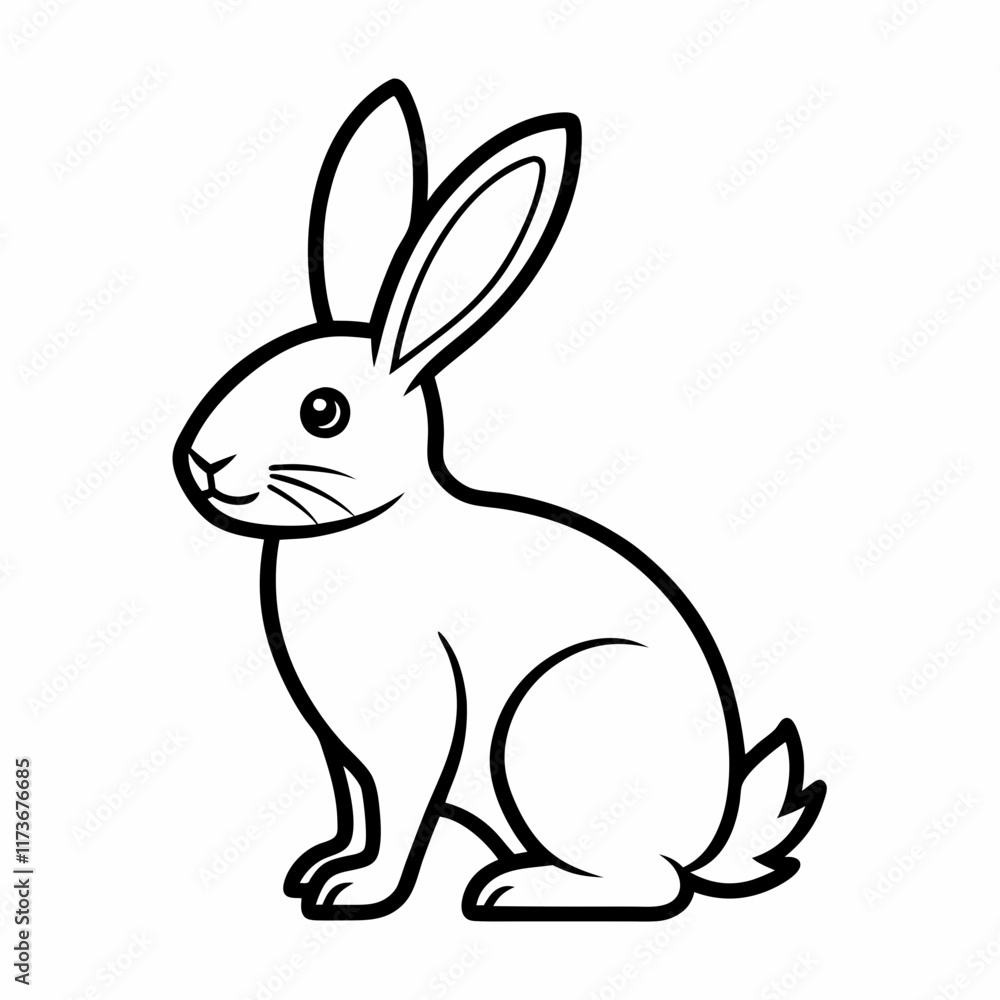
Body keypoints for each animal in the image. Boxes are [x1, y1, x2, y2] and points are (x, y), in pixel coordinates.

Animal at [173, 80, 825, 921]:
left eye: (323, 411)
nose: (201, 463)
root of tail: (713, 837)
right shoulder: (340, 752)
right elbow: (357, 811)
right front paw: (322, 869)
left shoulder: (413, 730)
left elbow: (399, 814)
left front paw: (359, 891)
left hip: (547, 732)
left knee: (654, 882)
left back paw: (515, 888)